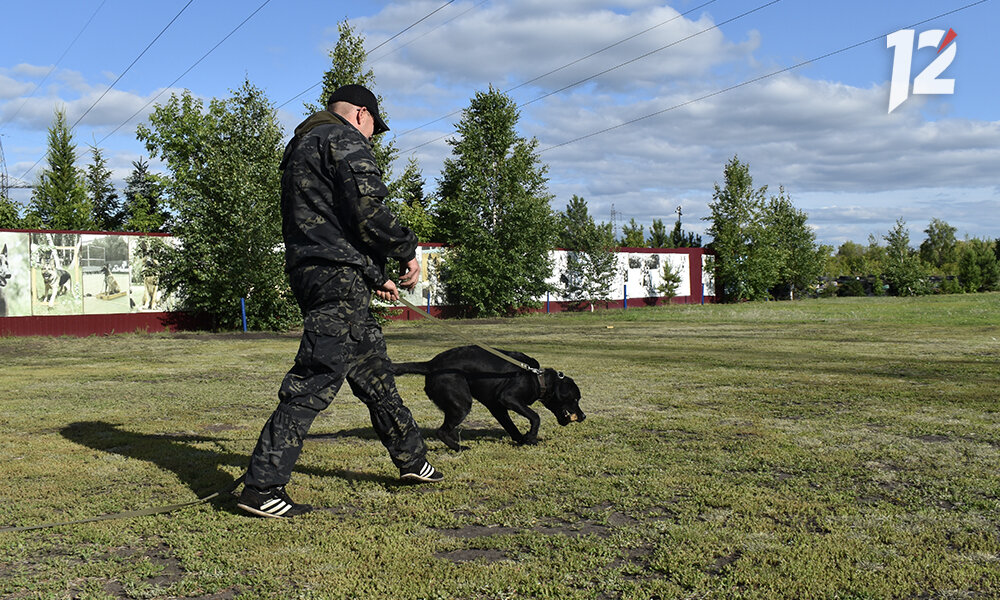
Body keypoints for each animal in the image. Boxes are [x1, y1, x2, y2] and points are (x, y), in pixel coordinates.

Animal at [388, 346, 580, 450]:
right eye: (576, 399)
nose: (583, 416)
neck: (536, 377)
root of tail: (430, 365)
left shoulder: (497, 408)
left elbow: (512, 427)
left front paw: (523, 440)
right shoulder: (509, 398)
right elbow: (536, 416)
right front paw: (531, 437)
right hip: (461, 404)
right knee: (441, 431)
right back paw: (459, 447)